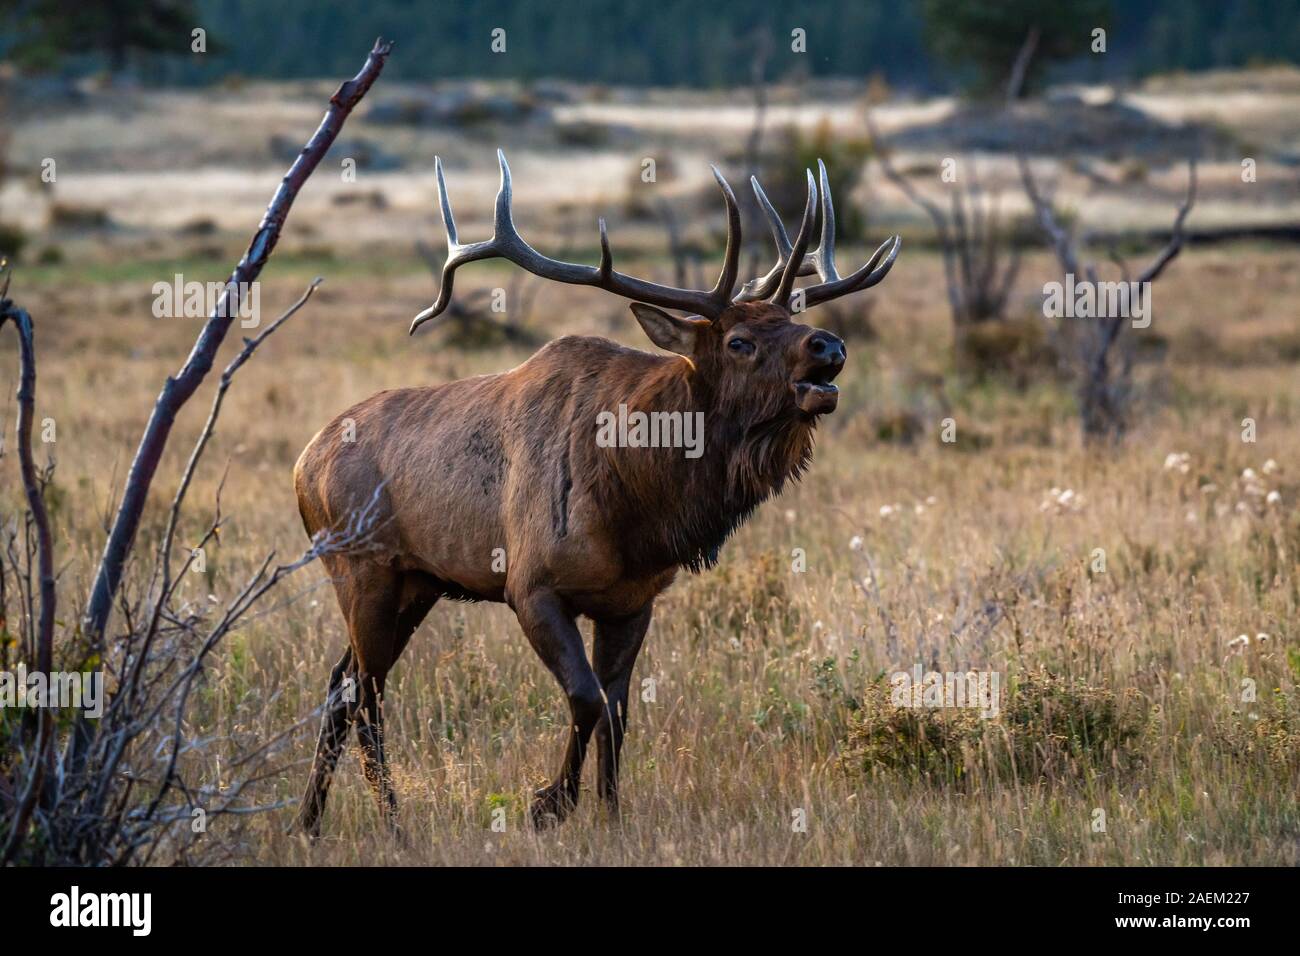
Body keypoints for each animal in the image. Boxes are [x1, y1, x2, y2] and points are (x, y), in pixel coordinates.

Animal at [293, 150, 900, 837]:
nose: (830, 345)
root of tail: (302, 464)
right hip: (361, 568)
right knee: (365, 692)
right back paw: (390, 820)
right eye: (739, 341)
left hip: (416, 582)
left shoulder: (633, 600)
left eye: (792, 320)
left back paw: (311, 821)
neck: (633, 504)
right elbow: (585, 699)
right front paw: (547, 803)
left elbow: (617, 710)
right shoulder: (530, 586)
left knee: (340, 684)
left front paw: (610, 813)